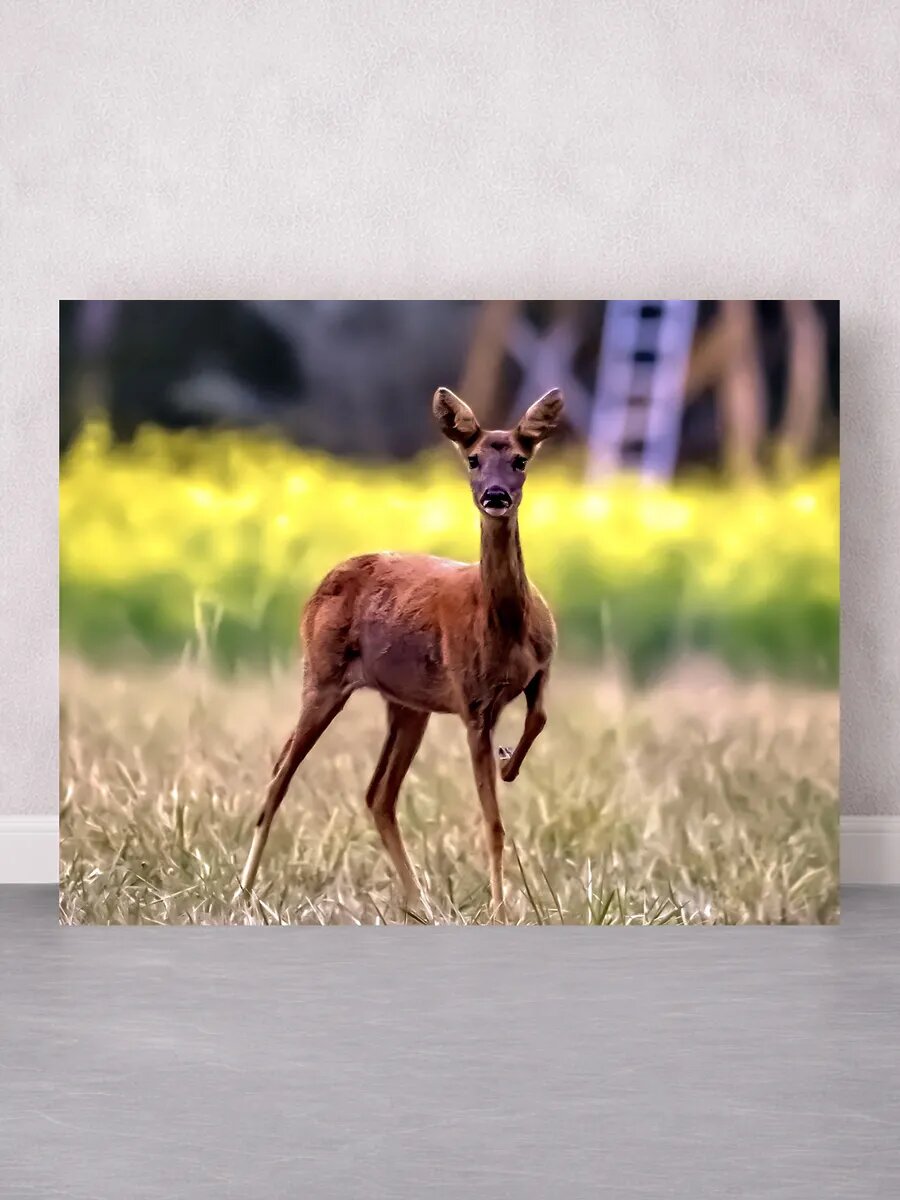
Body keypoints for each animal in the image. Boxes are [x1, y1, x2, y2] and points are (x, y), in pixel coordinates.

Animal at [238, 386, 565, 920]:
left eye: (521, 459)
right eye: (473, 459)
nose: (495, 496)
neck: (505, 624)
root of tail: (322, 583)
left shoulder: (541, 671)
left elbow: (538, 720)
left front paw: (508, 763)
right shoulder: (473, 703)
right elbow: (492, 824)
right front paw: (499, 911)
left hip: (408, 704)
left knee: (378, 794)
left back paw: (420, 905)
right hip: (322, 676)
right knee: (280, 776)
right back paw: (242, 894)